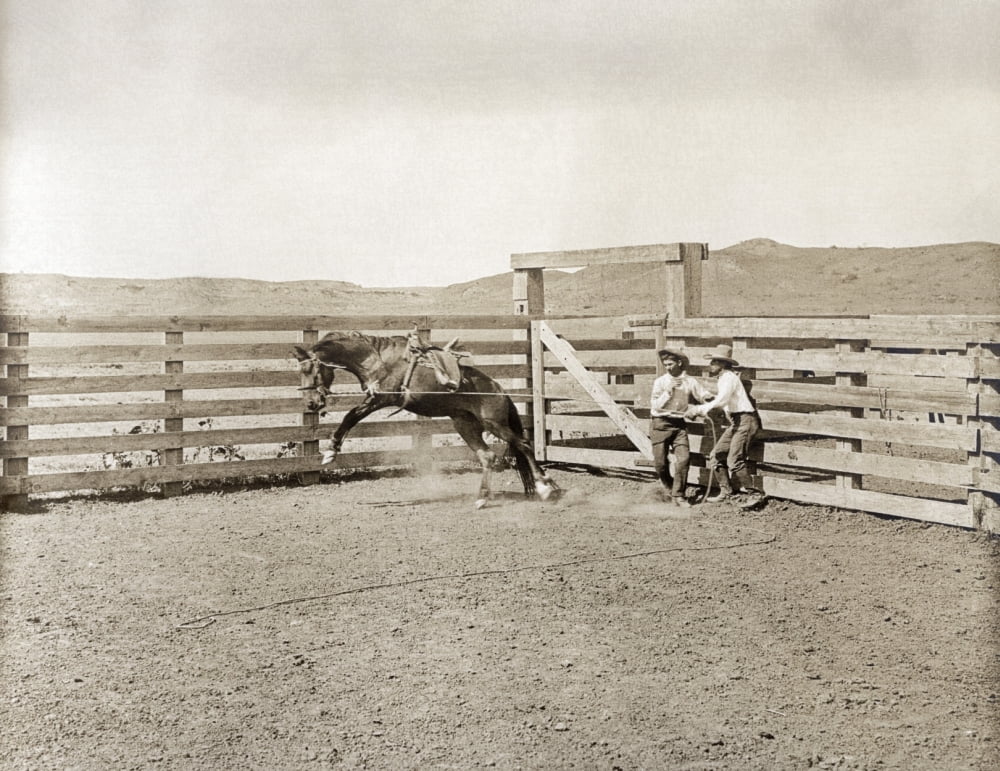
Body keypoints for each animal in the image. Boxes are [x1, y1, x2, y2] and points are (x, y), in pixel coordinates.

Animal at [293, 331, 558, 509]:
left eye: (311, 370)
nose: (311, 404)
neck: (376, 359)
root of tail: (499, 389)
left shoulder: (381, 398)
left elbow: (350, 416)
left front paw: (331, 451)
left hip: (495, 424)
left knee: (523, 444)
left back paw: (545, 486)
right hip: (465, 425)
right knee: (488, 456)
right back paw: (482, 498)